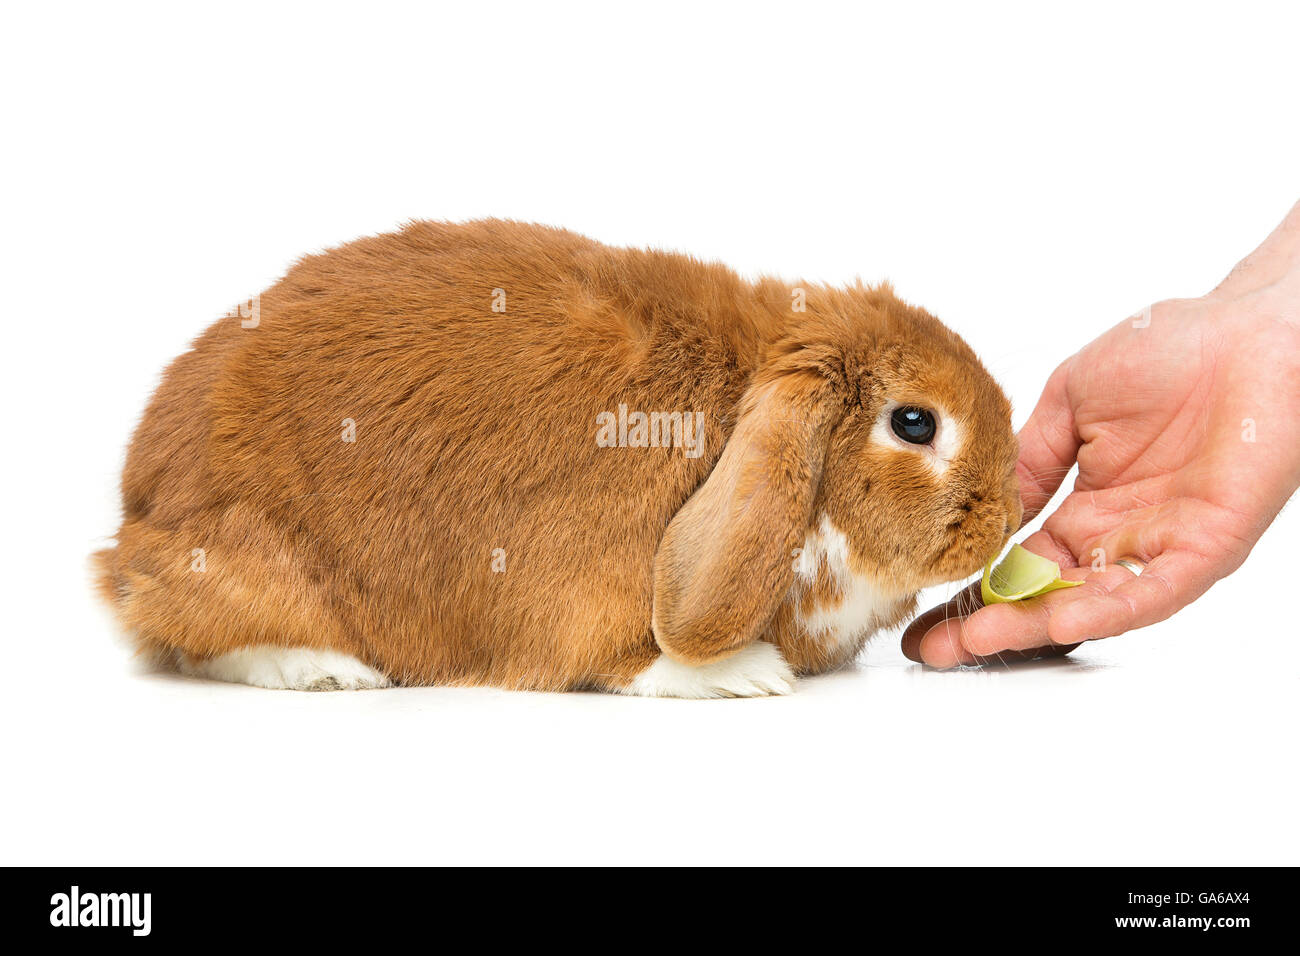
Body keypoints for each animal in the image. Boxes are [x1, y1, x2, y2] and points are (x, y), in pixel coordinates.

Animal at [95, 219, 1021, 697]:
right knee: (192, 639)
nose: (1008, 516)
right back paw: (324, 670)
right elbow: (637, 665)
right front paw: (747, 674)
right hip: (243, 559)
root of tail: (136, 513)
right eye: (914, 423)